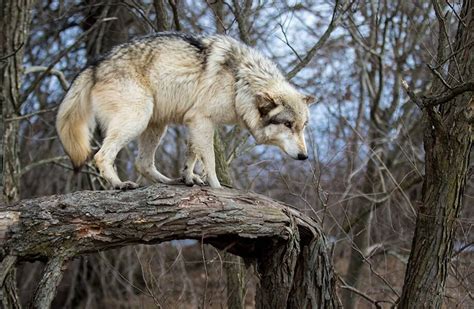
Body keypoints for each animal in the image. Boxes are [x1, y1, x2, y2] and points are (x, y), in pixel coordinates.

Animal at [56, 31, 314, 188]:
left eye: (302, 127)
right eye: (288, 125)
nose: (305, 156)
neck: (240, 81)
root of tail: (94, 65)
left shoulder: (195, 122)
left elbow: (192, 155)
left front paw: (189, 177)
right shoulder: (202, 121)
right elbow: (209, 161)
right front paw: (217, 188)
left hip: (155, 126)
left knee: (143, 163)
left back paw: (169, 181)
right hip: (137, 119)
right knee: (101, 156)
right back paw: (119, 185)